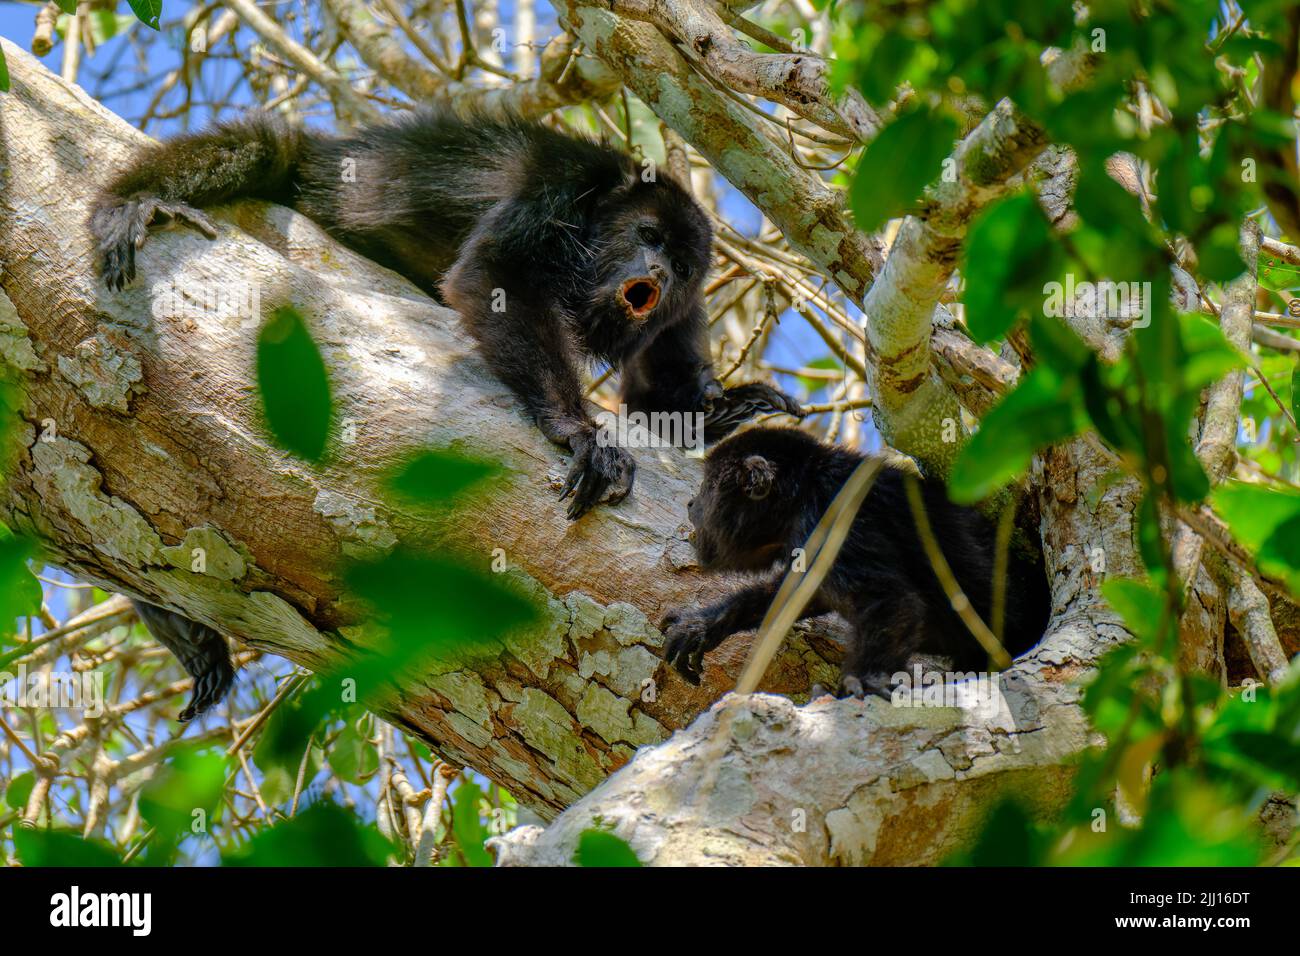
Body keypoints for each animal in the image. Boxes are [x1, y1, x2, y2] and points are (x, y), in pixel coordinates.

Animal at [90, 109, 803, 520]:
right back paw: (132, 201)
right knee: (269, 145)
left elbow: (656, 404)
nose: (655, 274)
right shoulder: (560, 178)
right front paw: (579, 431)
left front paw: (733, 407)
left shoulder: (684, 311)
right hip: (305, 170)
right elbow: (491, 275)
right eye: (648, 236)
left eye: (680, 265)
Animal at [661, 426, 1051, 699]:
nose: (692, 503)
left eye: (708, 486)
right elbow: (799, 592)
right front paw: (702, 625)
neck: (800, 493)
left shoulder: (832, 513)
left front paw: (864, 683)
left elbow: (889, 600)